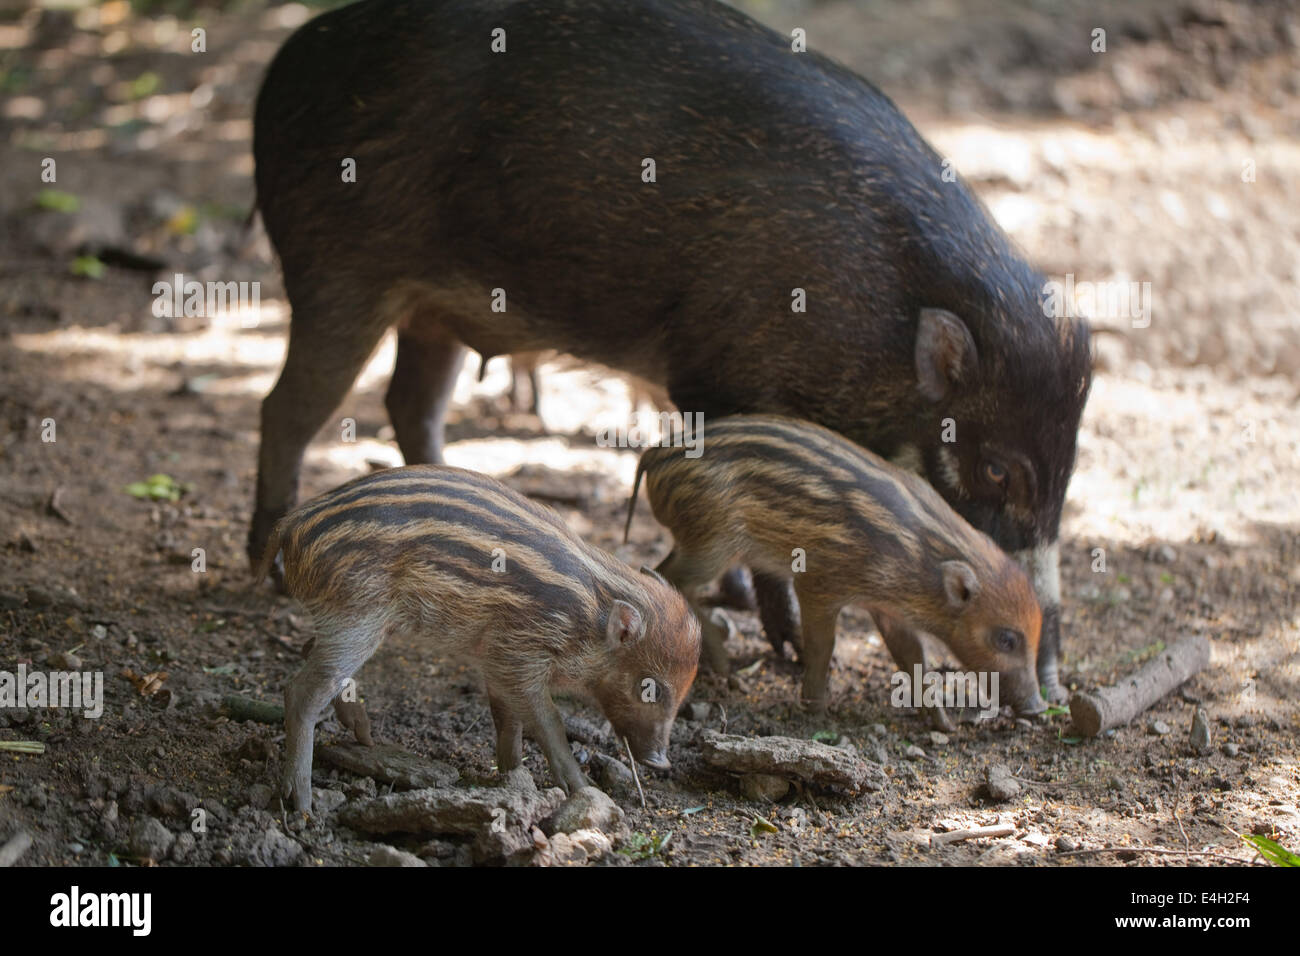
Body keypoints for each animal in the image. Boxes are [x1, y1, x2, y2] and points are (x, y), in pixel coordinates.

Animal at [256, 465, 701, 812]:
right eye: (648, 687)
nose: (661, 763)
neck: (588, 618)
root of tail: (291, 523)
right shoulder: (520, 654)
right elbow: (550, 723)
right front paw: (586, 792)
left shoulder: (498, 659)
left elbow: (508, 721)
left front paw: (511, 777)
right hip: (357, 617)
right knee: (300, 691)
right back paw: (302, 803)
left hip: (352, 623)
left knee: (308, 652)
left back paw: (363, 737)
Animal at [626, 415, 1045, 717]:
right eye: (1006, 639)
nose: (1039, 709)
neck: (917, 554)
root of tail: (652, 455)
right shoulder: (819, 583)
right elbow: (823, 644)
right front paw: (816, 711)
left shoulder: (887, 608)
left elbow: (912, 656)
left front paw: (940, 721)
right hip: (713, 541)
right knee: (670, 576)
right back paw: (725, 667)